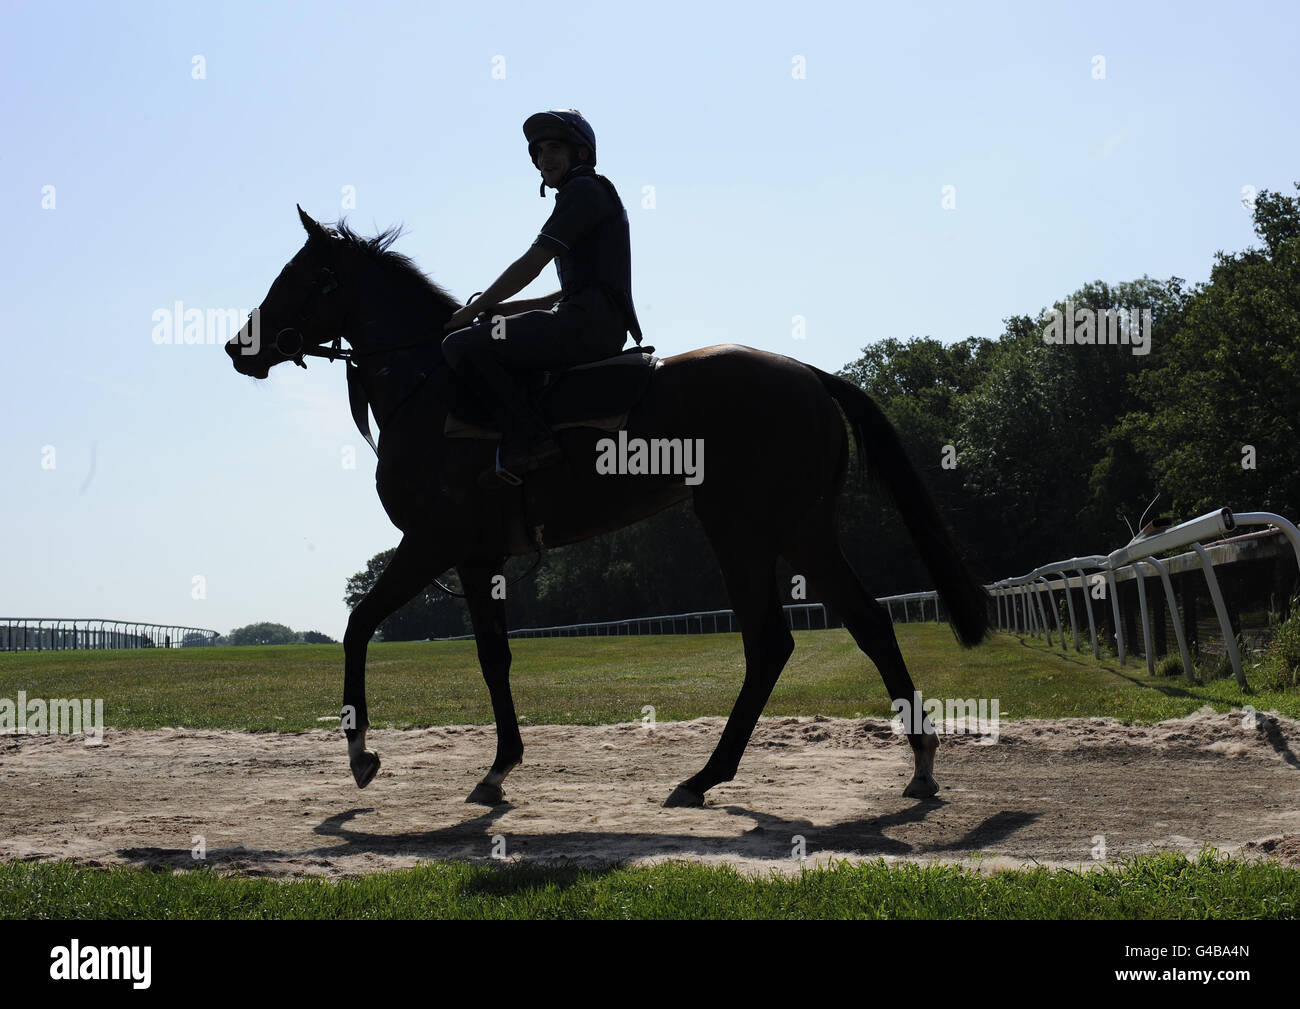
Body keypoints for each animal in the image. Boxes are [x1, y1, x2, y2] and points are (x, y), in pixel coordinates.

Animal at [224, 206, 989, 808]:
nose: (238, 345)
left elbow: (358, 626)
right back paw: (915, 762)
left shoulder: (431, 543)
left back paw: (707, 774)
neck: (430, 383)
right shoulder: (476, 556)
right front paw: (499, 768)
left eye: (298, 277)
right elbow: (493, 657)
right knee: (867, 622)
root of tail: (807, 372)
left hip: (741, 526)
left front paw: (361, 754)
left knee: (773, 640)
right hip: (800, 529)